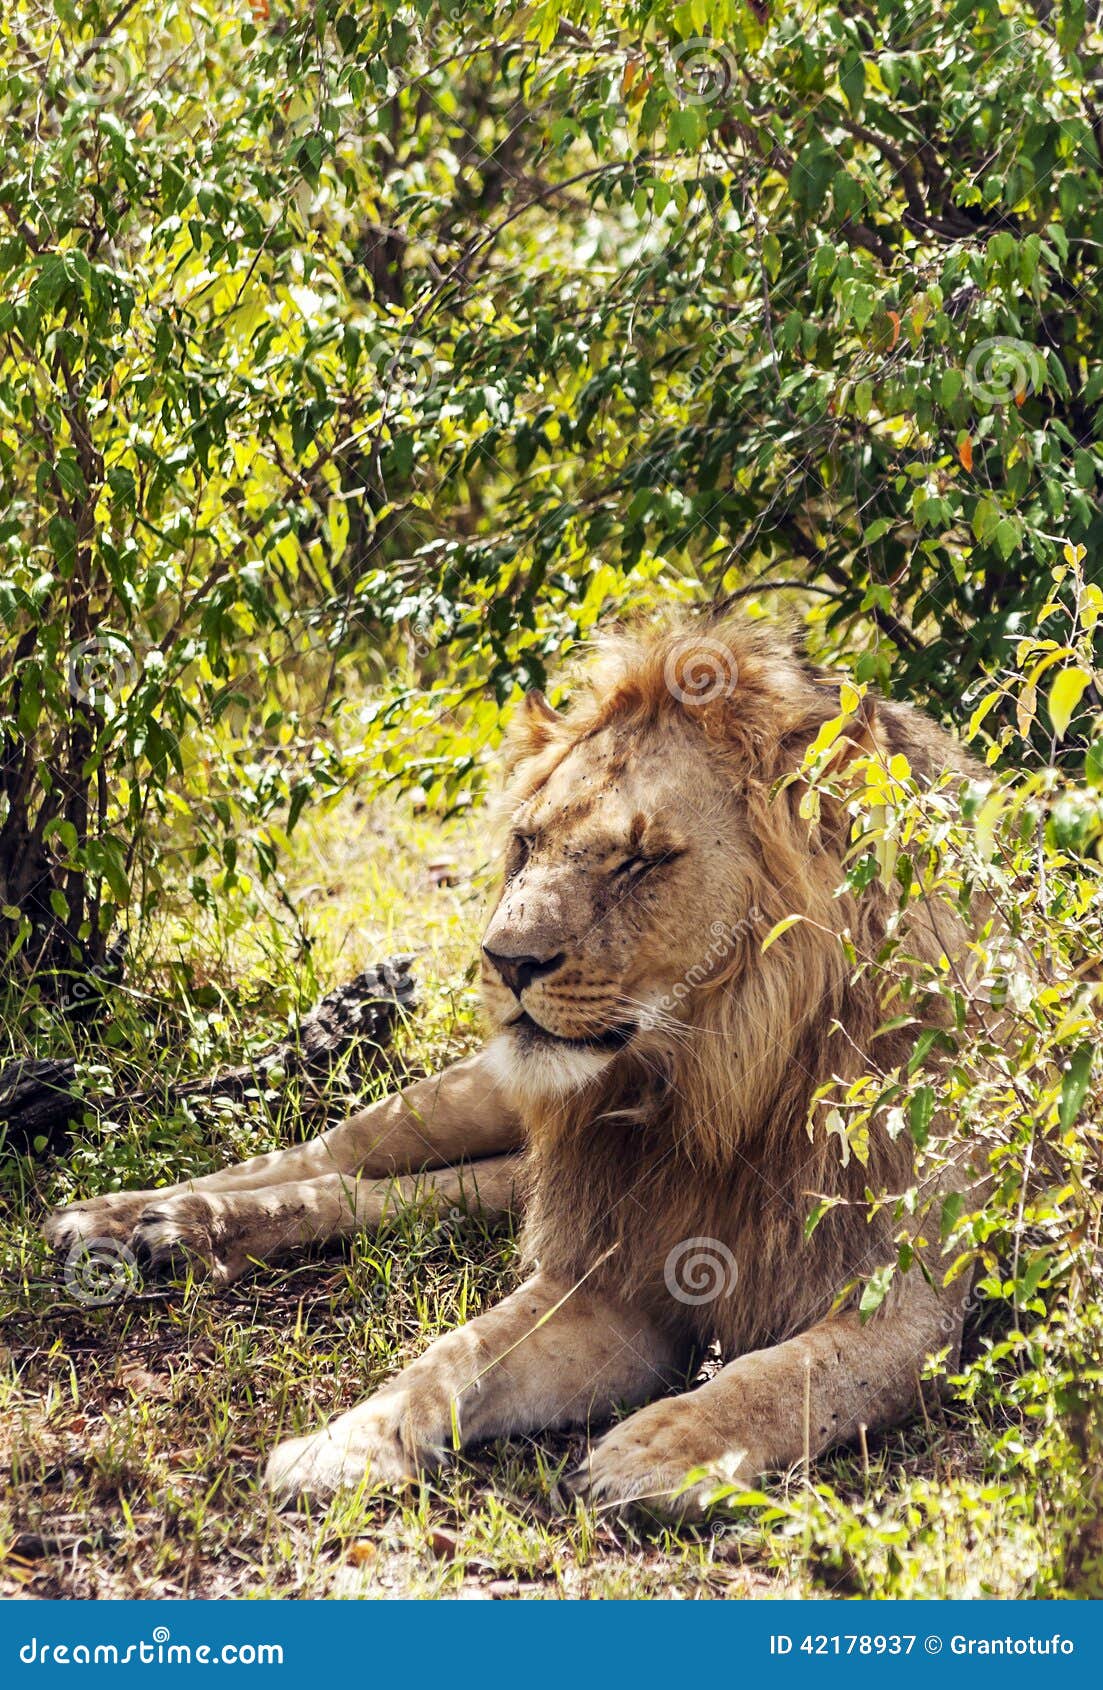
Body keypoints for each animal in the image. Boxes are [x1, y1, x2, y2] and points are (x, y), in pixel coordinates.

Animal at [45, 613, 987, 1519]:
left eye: (640, 859)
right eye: (526, 844)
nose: (502, 960)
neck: (714, 1089)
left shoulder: (905, 1310)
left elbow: (786, 1376)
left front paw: (661, 1448)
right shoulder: (611, 1274)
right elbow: (450, 1356)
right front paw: (341, 1444)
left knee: (408, 1192)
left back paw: (175, 1232)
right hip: (477, 1090)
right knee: (335, 1153)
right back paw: (135, 1216)